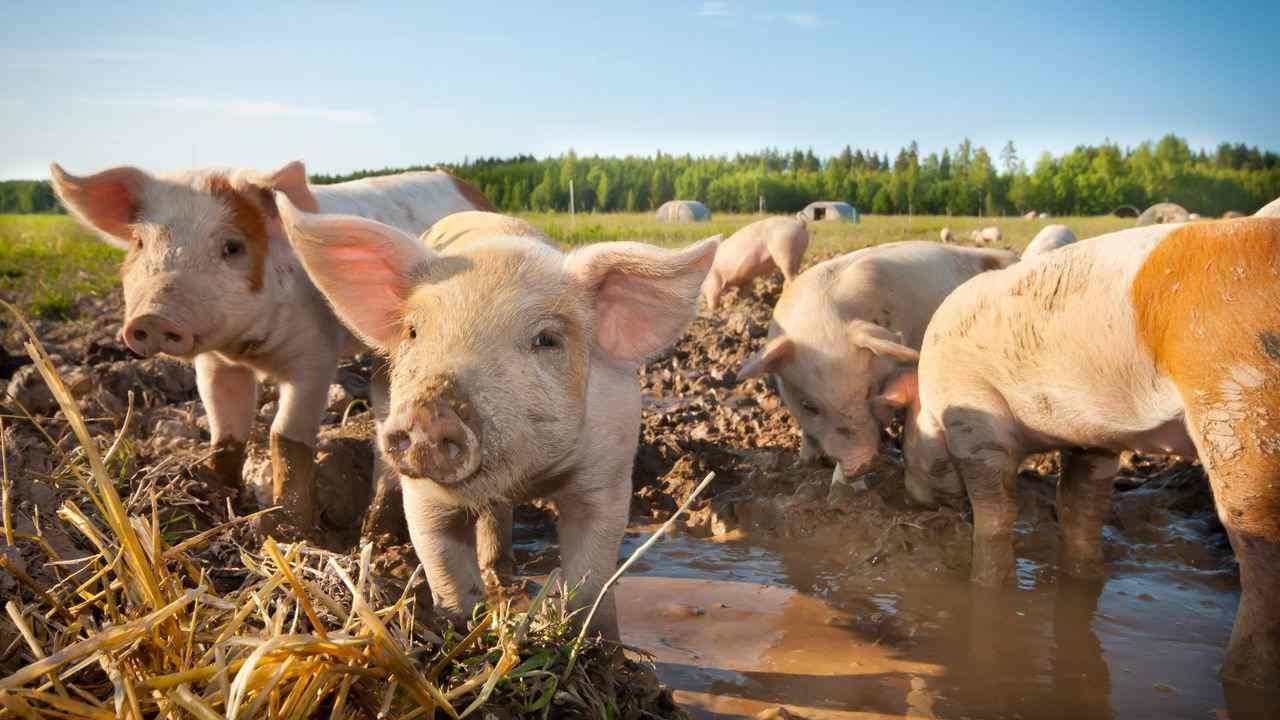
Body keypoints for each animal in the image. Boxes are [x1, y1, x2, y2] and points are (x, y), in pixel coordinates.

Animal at [49, 161, 494, 537]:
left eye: (232, 247)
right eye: (140, 242)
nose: (154, 318)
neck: (248, 349)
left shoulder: (316, 355)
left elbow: (287, 437)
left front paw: (288, 532)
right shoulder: (215, 364)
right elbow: (225, 432)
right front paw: (216, 500)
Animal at [277, 198, 718, 638]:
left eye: (546, 339)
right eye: (413, 331)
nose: (429, 413)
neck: (527, 478)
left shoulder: (608, 471)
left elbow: (592, 573)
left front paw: (598, 640)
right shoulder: (423, 494)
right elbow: (443, 562)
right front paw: (463, 626)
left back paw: (502, 570)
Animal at [901, 218, 1280, 688]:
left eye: (903, 441)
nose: (909, 495)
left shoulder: (974, 419)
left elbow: (996, 515)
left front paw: (987, 588)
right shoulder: (1092, 437)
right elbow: (1080, 507)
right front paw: (1084, 580)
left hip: (1239, 403)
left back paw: (1239, 676)